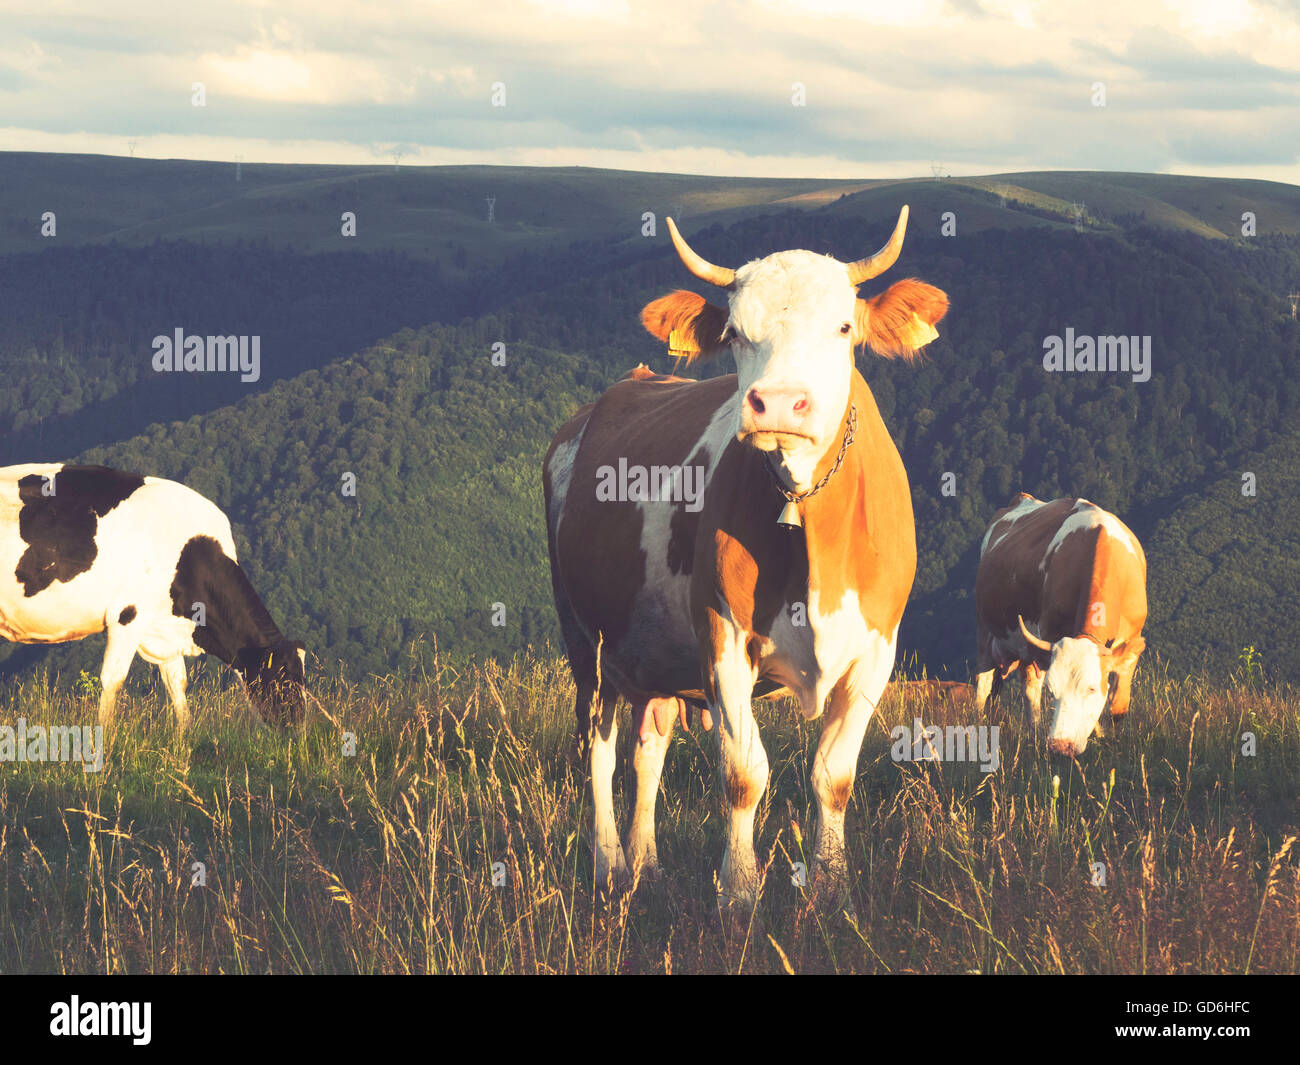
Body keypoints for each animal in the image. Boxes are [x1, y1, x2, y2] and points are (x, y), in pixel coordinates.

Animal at [0, 464, 307, 728]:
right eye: (285, 678)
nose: (299, 729)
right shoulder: (128, 616)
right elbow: (112, 679)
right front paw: (104, 736)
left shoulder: (164, 626)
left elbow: (177, 683)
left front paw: (185, 736)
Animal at [544, 207, 949, 907]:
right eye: (735, 332)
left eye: (844, 326)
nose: (778, 403)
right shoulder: (723, 634)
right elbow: (743, 774)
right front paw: (738, 893)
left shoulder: (877, 649)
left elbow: (833, 776)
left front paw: (832, 891)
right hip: (584, 640)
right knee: (597, 748)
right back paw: (609, 868)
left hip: (654, 650)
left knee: (648, 744)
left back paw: (646, 866)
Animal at [974, 493, 1147, 757]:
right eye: (1053, 691)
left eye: (1091, 689)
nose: (1060, 746)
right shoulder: (1048, 634)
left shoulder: (1131, 644)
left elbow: (1118, 708)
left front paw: (1107, 738)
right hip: (986, 631)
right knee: (992, 688)